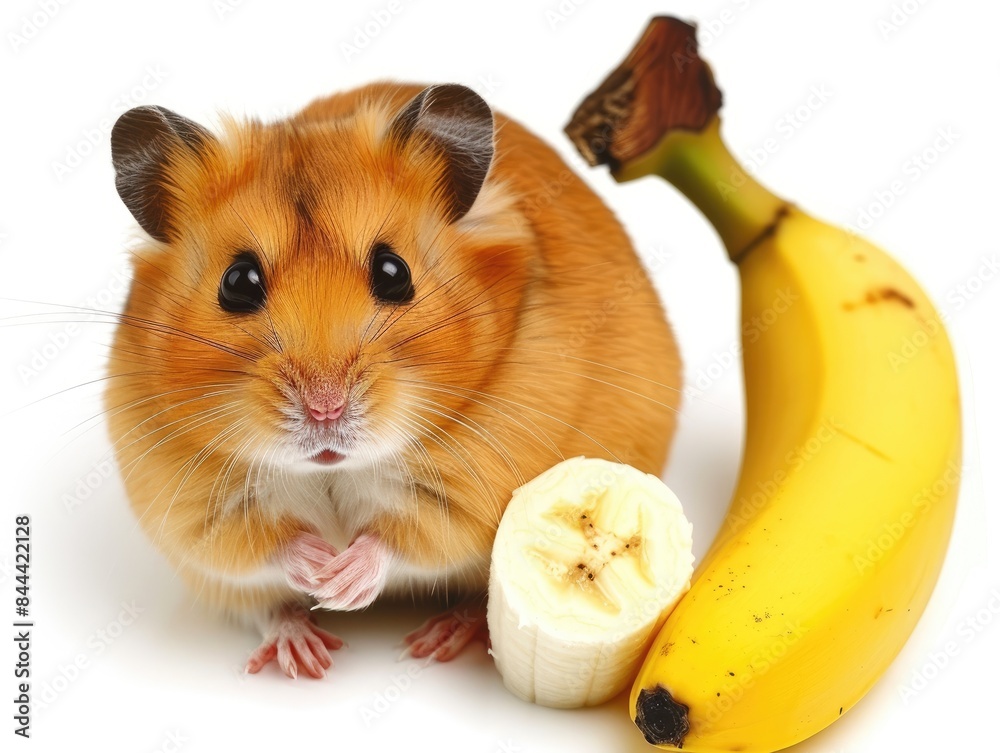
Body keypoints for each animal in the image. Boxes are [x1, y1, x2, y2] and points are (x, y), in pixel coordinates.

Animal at [105, 82, 681, 678]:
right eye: (237, 282)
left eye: (393, 272)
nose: (325, 408)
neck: (333, 471)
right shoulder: (192, 508)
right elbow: (261, 543)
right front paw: (319, 571)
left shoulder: (472, 493)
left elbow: (406, 538)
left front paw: (341, 582)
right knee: (266, 608)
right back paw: (303, 653)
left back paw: (438, 638)